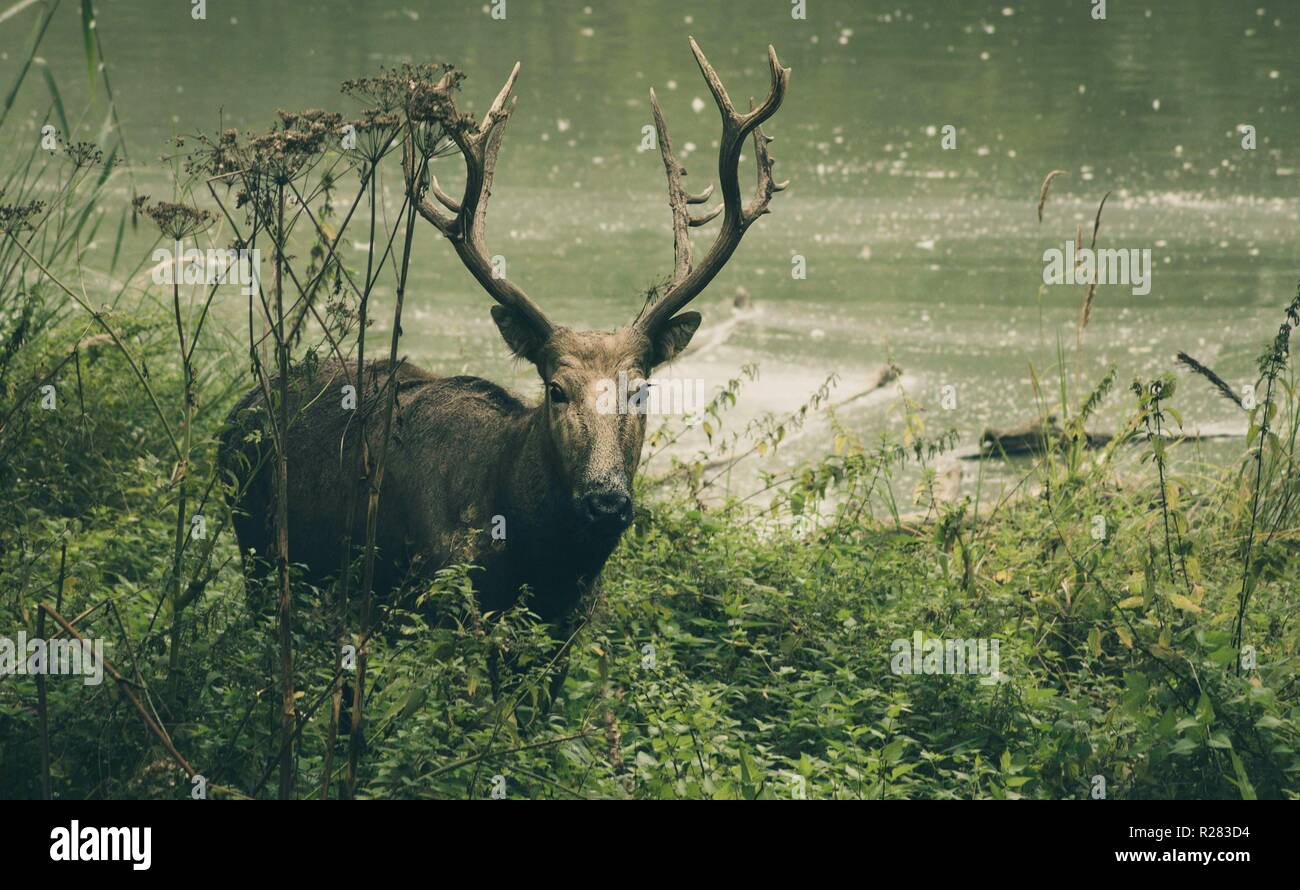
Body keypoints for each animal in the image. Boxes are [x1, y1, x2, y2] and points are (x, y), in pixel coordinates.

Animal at [221, 38, 791, 690]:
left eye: (641, 390)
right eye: (556, 389)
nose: (606, 501)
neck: (534, 561)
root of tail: (233, 416)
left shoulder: (567, 629)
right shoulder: (442, 606)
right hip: (257, 552)